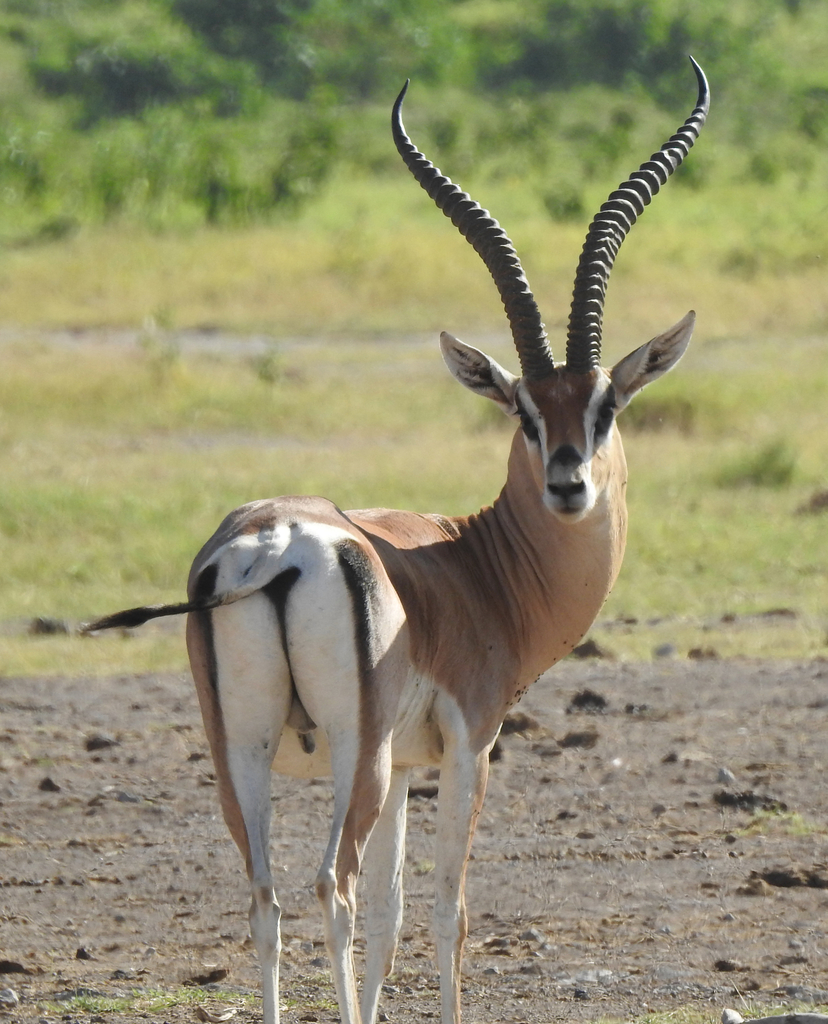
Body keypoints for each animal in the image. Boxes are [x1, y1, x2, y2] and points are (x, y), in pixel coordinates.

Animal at [84, 59, 709, 1024]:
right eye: (524, 410)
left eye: (605, 405)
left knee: (266, 895)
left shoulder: (412, 764)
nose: (569, 485)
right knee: (327, 885)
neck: (476, 568)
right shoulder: (467, 744)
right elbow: (446, 909)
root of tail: (271, 545)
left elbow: (393, 912)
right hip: (356, 752)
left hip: (244, 751)